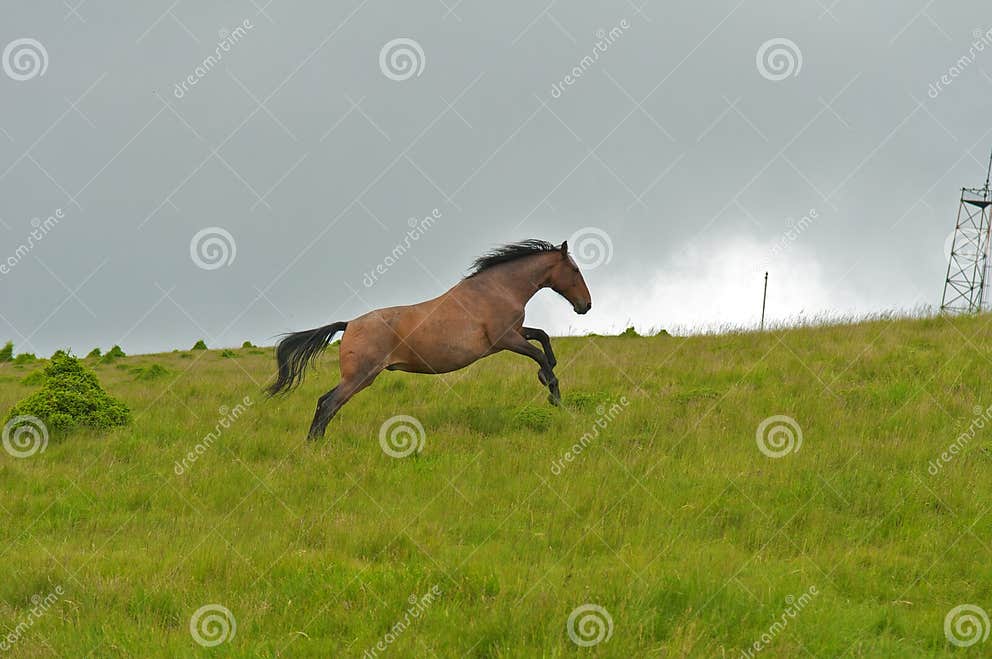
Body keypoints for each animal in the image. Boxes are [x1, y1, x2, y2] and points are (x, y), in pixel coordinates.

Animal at [267, 239, 593, 439]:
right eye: (575, 270)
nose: (586, 305)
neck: (496, 289)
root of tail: (348, 325)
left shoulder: (516, 333)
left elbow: (542, 337)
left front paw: (550, 372)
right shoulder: (506, 339)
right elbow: (538, 353)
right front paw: (553, 394)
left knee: (324, 401)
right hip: (360, 377)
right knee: (329, 404)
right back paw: (315, 444)